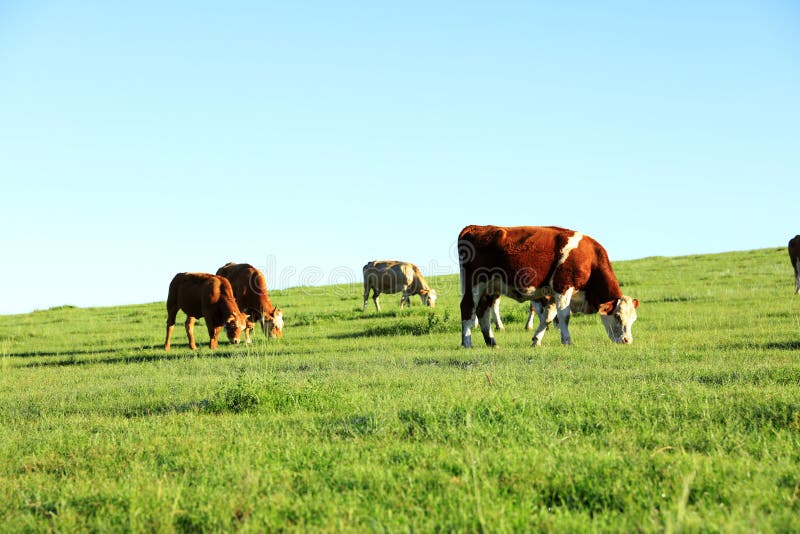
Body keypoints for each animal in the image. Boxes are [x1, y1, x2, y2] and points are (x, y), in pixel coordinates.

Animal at [458, 225, 639, 347]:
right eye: (617, 316)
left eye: (634, 319)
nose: (627, 340)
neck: (590, 260)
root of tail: (474, 228)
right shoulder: (562, 287)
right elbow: (564, 316)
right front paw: (567, 341)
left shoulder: (552, 293)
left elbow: (549, 316)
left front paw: (536, 340)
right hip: (475, 283)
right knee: (468, 307)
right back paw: (467, 342)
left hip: (489, 288)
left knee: (483, 311)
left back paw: (492, 342)